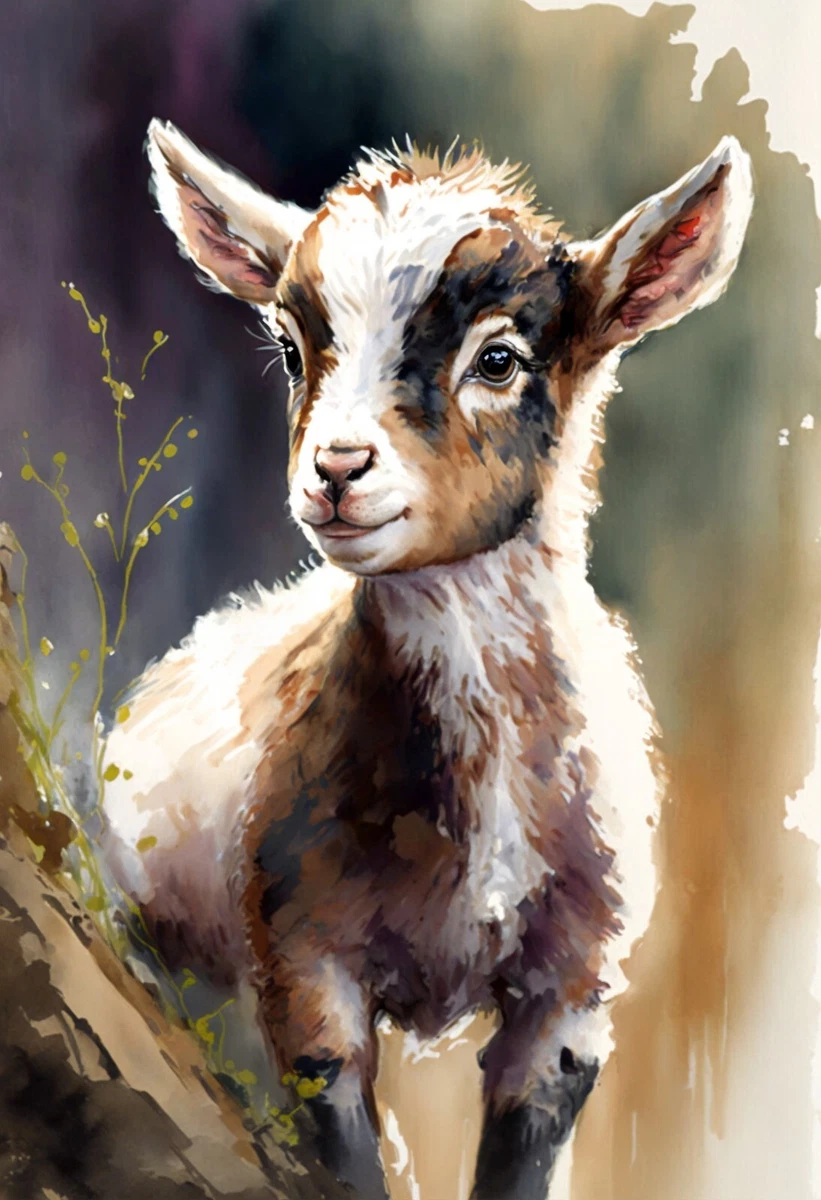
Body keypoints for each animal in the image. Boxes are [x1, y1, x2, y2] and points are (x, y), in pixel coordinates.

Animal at [103, 120, 752, 1200]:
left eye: (497, 359)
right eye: (292, 348)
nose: (335, 471)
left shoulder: (571, 994)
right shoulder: (303, 959)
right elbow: (343, 1146)